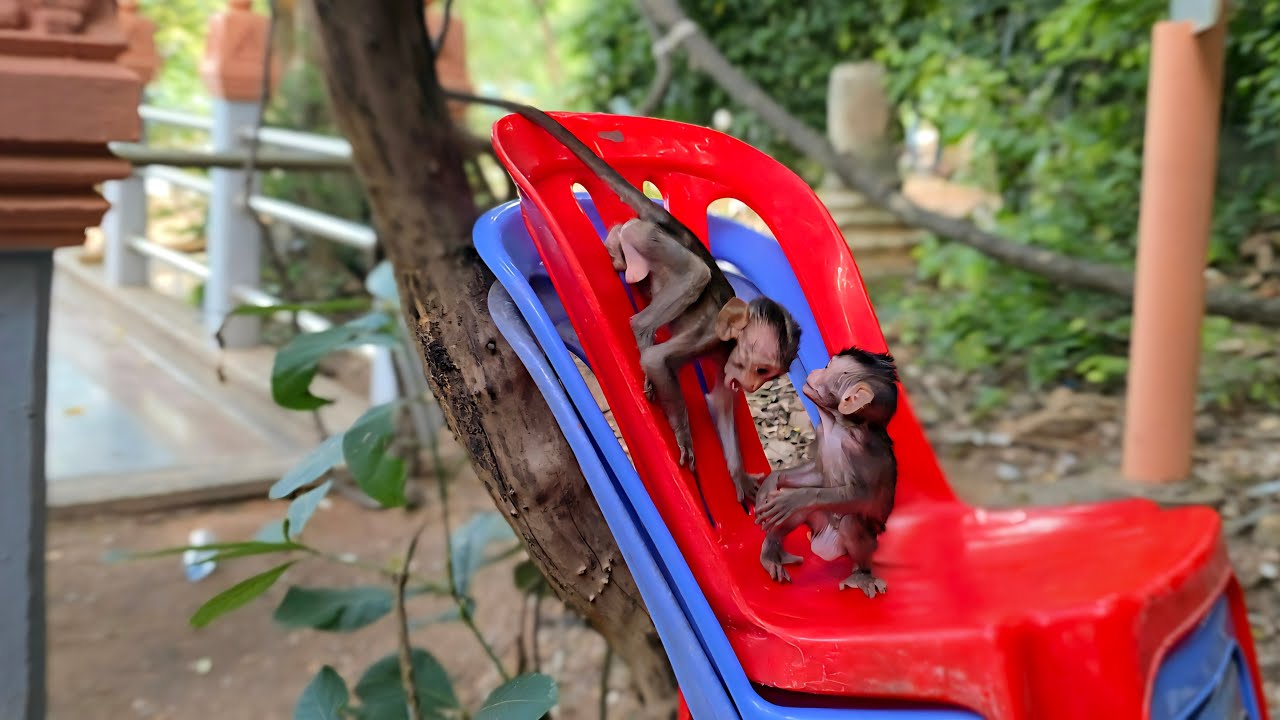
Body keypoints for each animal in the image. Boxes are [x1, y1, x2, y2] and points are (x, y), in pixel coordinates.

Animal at [444, 89, 803, 510]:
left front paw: (738, 476)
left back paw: (619, 254)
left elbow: (720, 401)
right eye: (761, 369)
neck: (729, 336)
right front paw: (683, 435)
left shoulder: (723, 358)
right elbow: (662, 361)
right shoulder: (708, 337)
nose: (753, 387)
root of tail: (668, 223)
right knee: (692, 273)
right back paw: (640, 323)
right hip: (657, 241)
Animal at [752, 347, 898, 598]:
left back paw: (861, 575)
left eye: (829, 368)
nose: (817, 370)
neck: (838, 425)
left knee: (851, 522)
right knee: (798, 511)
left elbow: (862, 495)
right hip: (818, 523)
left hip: (862, 543)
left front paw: (795, 498)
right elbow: (819, 474)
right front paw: (772, 481)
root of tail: (823, 549)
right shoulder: (821, 431)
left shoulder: (861, 452)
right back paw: (772, 550)